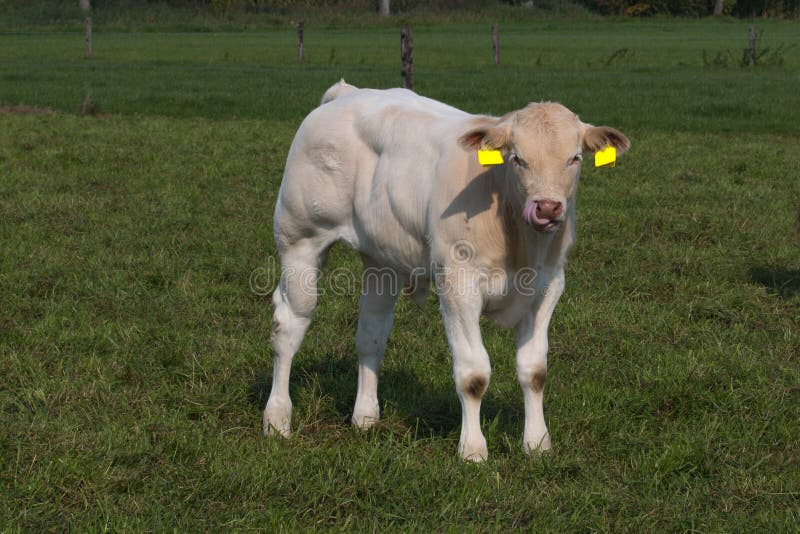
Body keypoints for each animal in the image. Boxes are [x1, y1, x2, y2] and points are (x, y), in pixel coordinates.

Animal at [263, 80, 630, 461]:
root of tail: (345, 93)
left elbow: (534, 371)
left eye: (575, 158)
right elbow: (474, 375)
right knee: (289, 327)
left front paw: (537, 443)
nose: (547, 208)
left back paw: (365, 416)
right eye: (517, 158)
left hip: (381, 259)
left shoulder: (548, 285)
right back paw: (277, 420)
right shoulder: (458, 285)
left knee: (371, 333)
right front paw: (473, 450)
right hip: (299, 240)